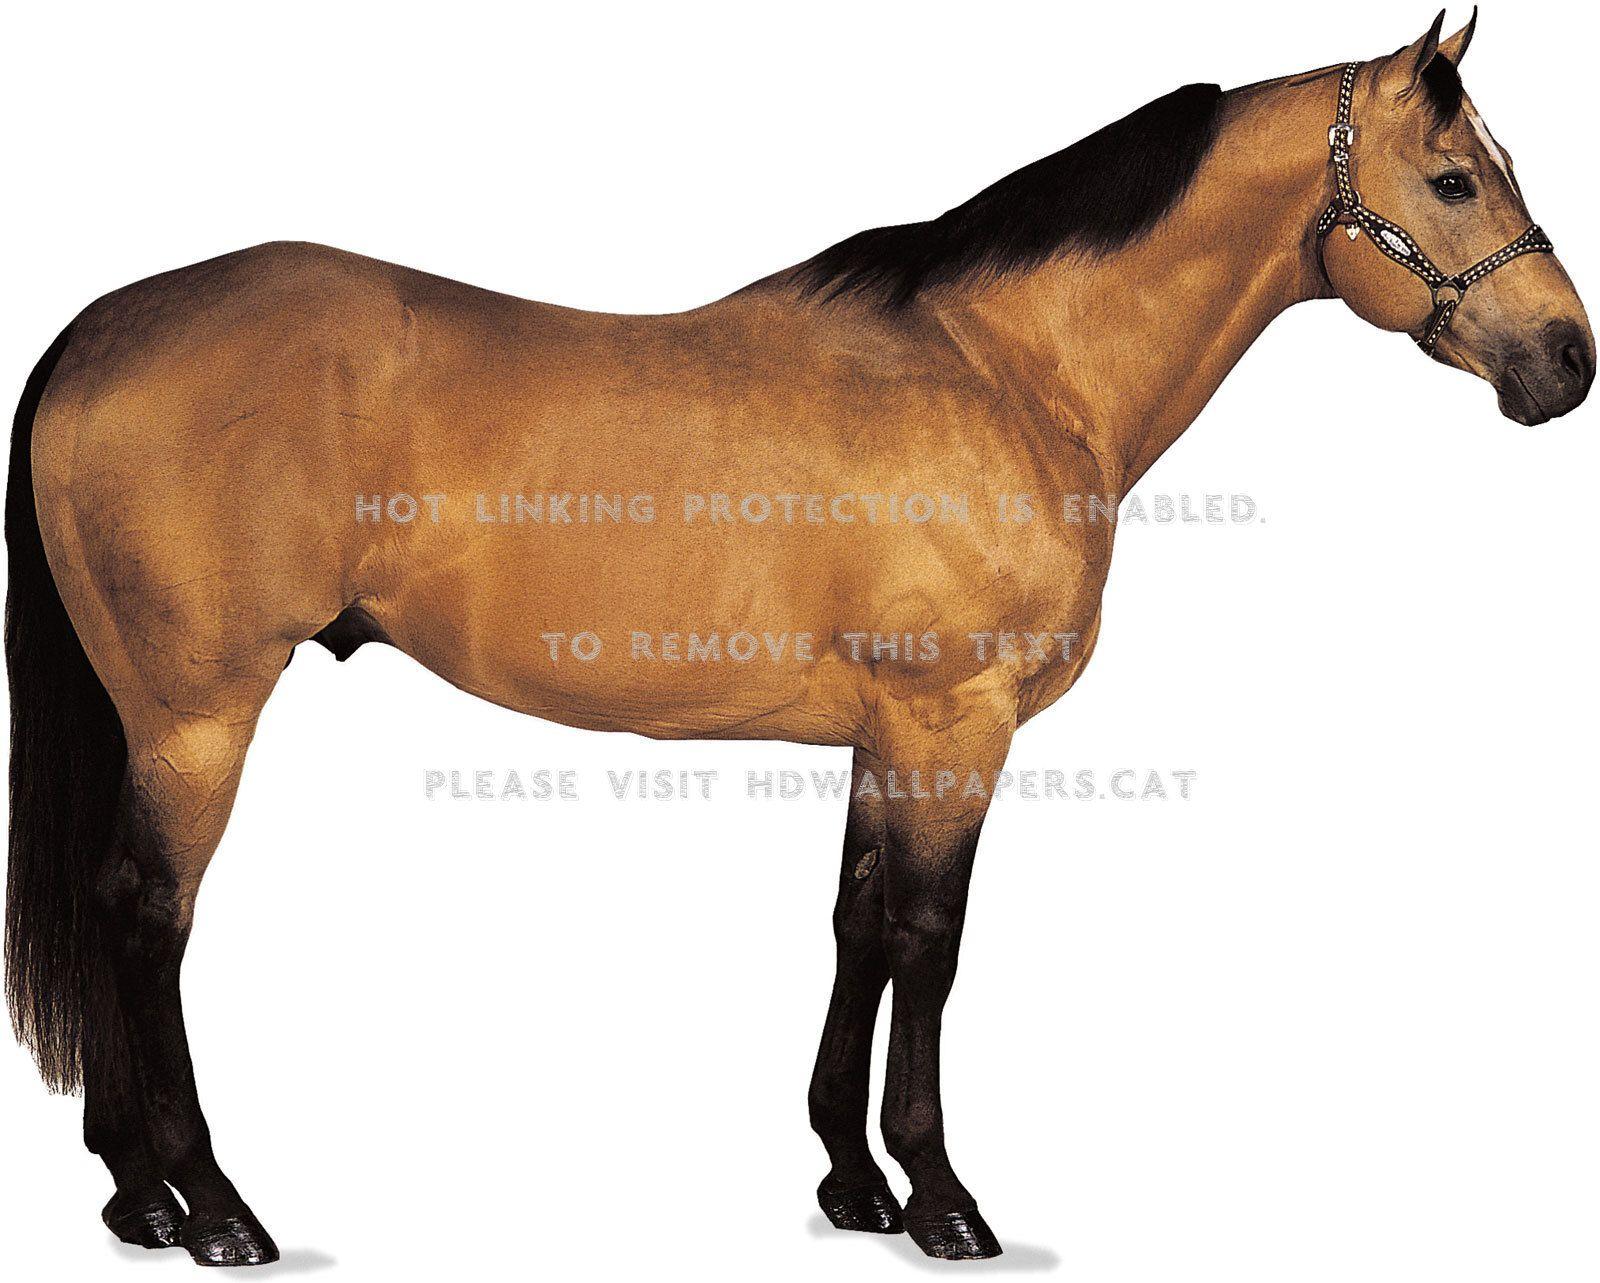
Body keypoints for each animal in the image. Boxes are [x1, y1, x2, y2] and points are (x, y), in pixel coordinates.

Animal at [5, 10, 1591, 1266]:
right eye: (1455, 178)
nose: (1566, 362)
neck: (1009, 373)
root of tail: (101, 326)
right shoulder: (957, 722)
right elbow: (932, 943)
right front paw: (944, 1197)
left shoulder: (889, 735)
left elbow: (858, 925)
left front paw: (851, 1180)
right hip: (198, 715)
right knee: (148, 914)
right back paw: (214, 1207)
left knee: (105, 904)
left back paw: (136, 1197)